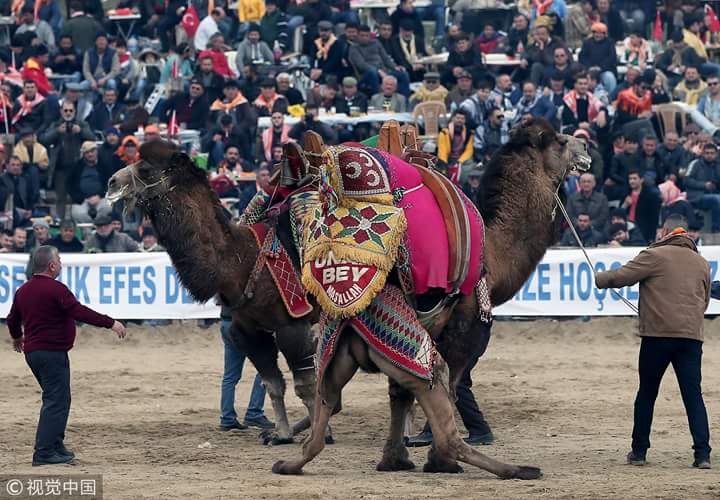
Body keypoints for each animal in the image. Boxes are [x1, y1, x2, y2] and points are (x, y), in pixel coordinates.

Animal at [106, 140, 327, 446]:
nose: (112, 182)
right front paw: (281, 434)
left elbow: (305, 386)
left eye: (146, 169)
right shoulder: (247, 330)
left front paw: (312, 438)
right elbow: (273, 384)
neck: (241, 262)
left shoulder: (291, 324)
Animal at [270, 118, 590, 479]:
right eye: (561, 141)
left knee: (323, 409)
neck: (494, 256)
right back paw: (504, 467)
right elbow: (452, 388)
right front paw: (429, 457)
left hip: (339, 343)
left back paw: (288, 461)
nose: (586, 146)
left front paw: (394, 459)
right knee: (444, 411)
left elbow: (398, 394)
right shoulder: (464, 328)